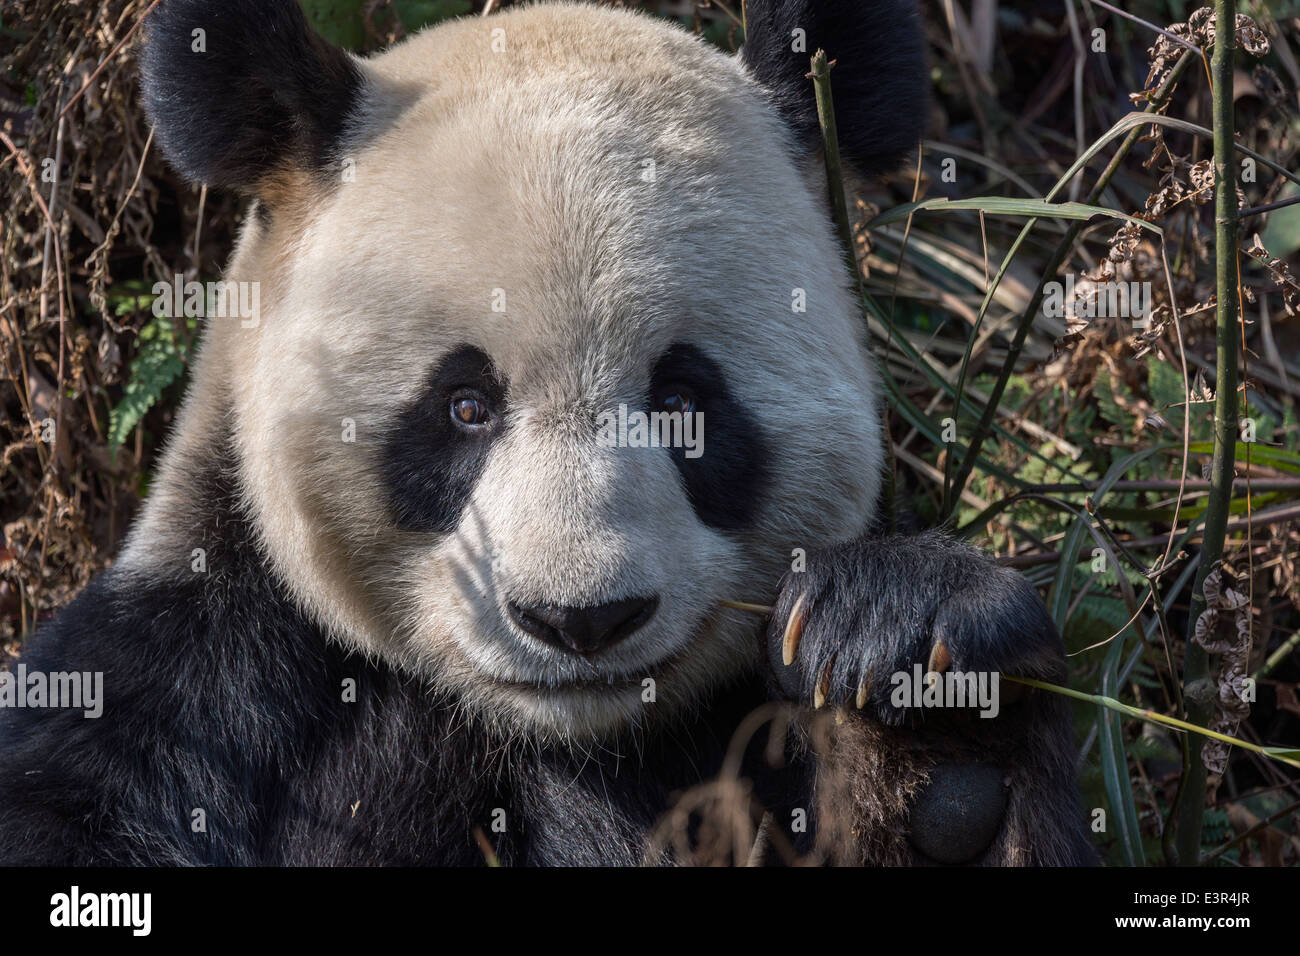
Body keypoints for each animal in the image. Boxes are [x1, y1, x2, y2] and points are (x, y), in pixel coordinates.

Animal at [0, 0, 1094, 866]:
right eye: (464, 406)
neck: (554, 735)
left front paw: (905, 660)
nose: (581, 619)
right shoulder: (209, 687)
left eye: (684, 402)